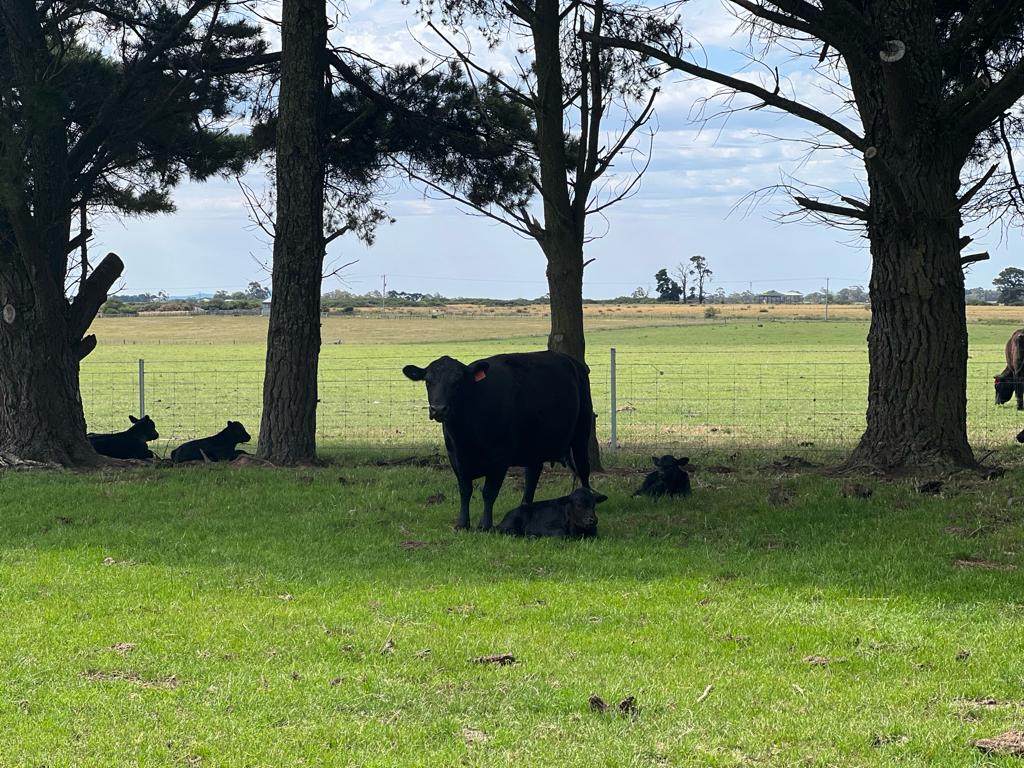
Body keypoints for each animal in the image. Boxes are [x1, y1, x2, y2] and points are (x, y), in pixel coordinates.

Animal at [402, 350, 594, 530]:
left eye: (457, 382)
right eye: (428, 381)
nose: (438, 409)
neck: (466, 436)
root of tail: (573, 362)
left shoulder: (499, 458)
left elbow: (489, 492)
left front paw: (485, 524)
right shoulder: (455, 457)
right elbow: (465, 490)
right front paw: (462, 524)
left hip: (581, 434)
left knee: (584, 471)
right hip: (534, 445)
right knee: (532, 474)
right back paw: (525, 505)